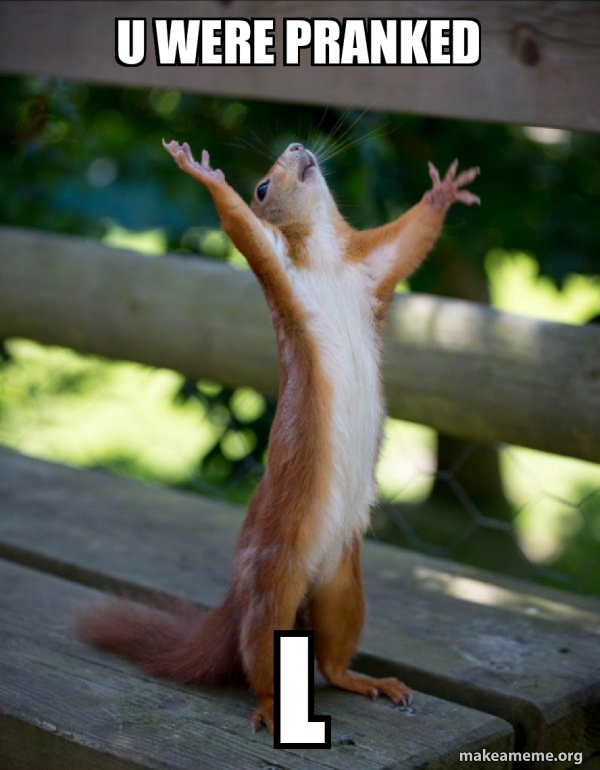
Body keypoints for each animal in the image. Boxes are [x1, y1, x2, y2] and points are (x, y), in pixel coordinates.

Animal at [77, 138, 480, 735]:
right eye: (262, 187)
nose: (296, 147)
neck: (327, 257)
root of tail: (240, 594)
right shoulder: (277, 266)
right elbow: (240, 226)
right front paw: (204, 174)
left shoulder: (372, 267)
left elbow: (409, 241)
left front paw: (443, 192)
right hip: (273, 588)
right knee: (261, 661)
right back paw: (270, 707)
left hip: (344, 587)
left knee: (330, 661)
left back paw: (367, 681)